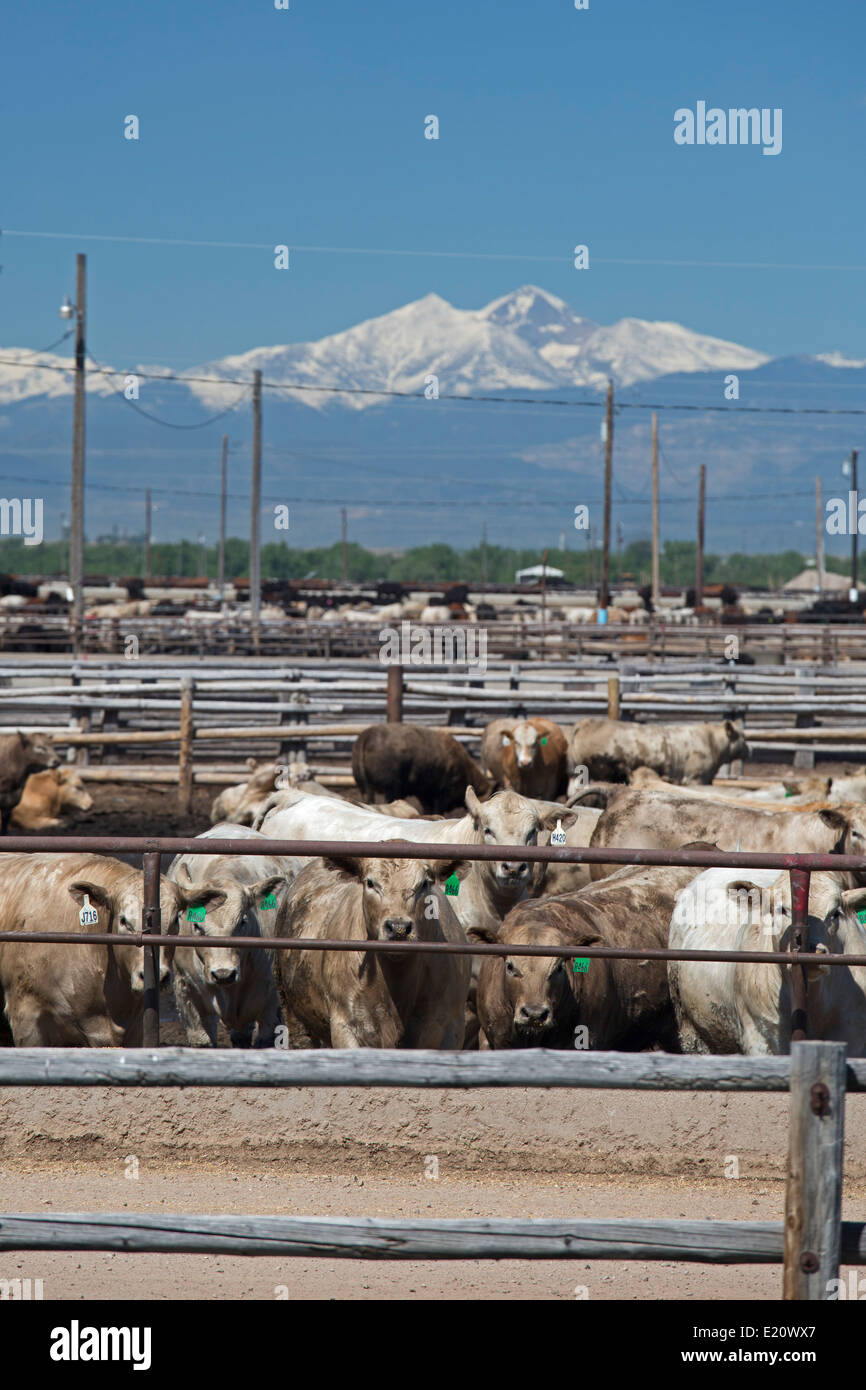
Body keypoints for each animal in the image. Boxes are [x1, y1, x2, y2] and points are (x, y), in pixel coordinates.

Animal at [167, 824, 300, 1048]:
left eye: (242, 922)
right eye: (197, 926)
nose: (223, 974)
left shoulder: (271, 1002)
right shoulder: (186, 991)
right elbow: (203, 1041)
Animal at [352, 725, 491, 814]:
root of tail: (366, 736)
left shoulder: (424, 791)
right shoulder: (442, 791)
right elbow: (437, 807)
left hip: (366, 787)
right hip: (389, 788)